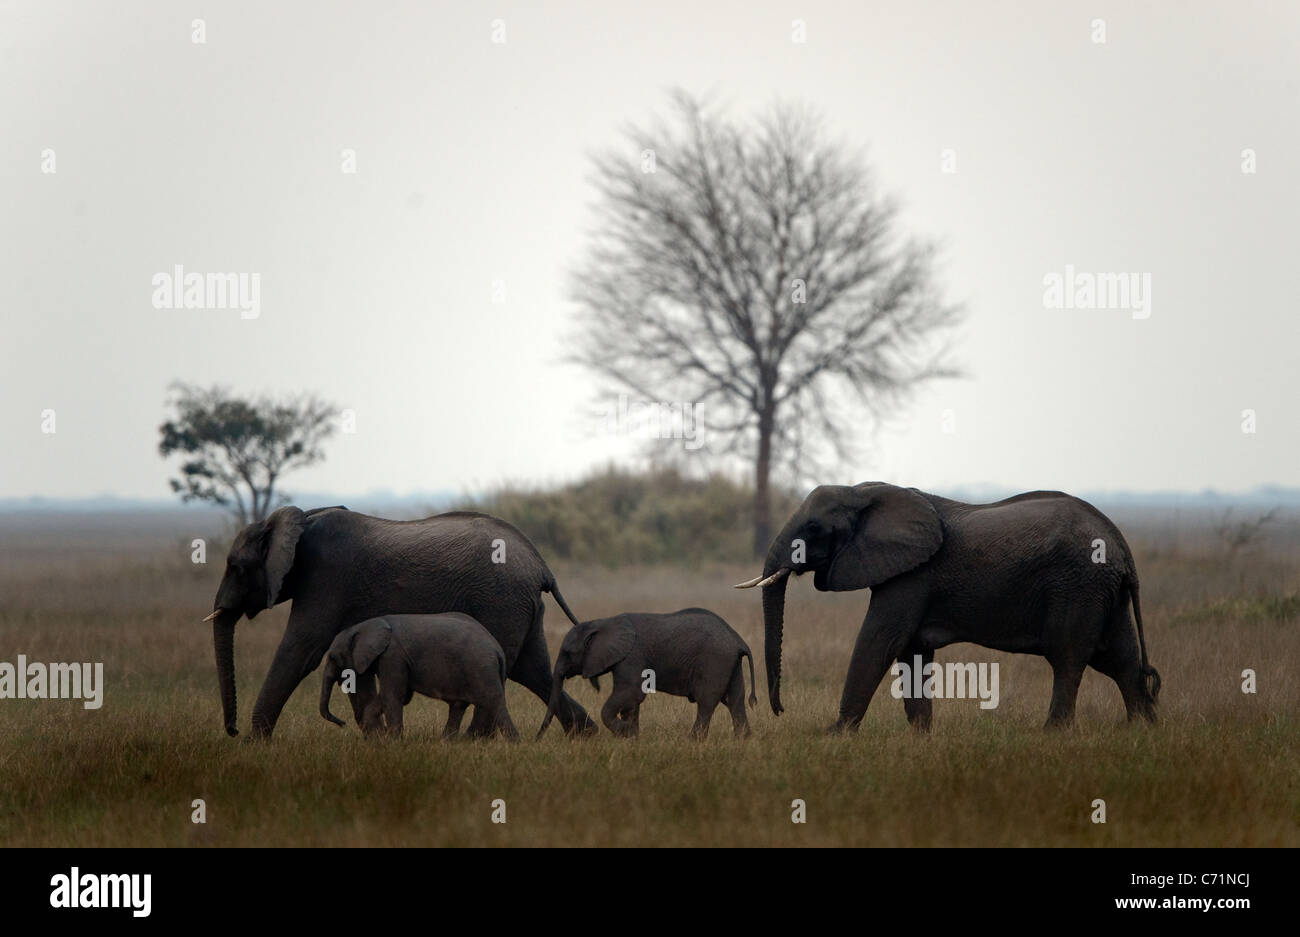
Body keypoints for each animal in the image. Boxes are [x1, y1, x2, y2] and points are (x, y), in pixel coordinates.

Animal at [319, 613, 519, 740]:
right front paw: (380, 736)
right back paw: (451, 742)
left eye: (333, 657)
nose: (342, 723)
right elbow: (397, 696)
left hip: (480, 668)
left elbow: (393, 695)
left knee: (493, 702)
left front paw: (392, 741)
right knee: (461, 706)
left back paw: (513, 744)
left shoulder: (393, 656)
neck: (367, 625)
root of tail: (497, 649)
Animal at [537, 609, 757, 740]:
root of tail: (739, 641)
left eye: (567, 653)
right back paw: (743, 740)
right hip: (730, 664)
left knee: (707, 702)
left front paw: (624, 732)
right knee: (735, 700)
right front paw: (631, 738)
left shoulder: (631, 657)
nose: (537, 739)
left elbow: (630, 692)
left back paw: (693, 741)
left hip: (715, 661)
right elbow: (632, 701)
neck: (601, 623)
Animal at [737, 483, 1161, 732]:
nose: (779, 710)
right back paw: (1143, 732)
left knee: (1069, 658)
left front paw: (834, 736)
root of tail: (1120, 543)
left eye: (813, 529)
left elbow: (879, 641)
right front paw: (921, 738)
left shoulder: (913, 575)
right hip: (1103, 593)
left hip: (1078, 587)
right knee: (1120, 658)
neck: (865, 491)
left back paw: (1053, 735)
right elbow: (910, 651)